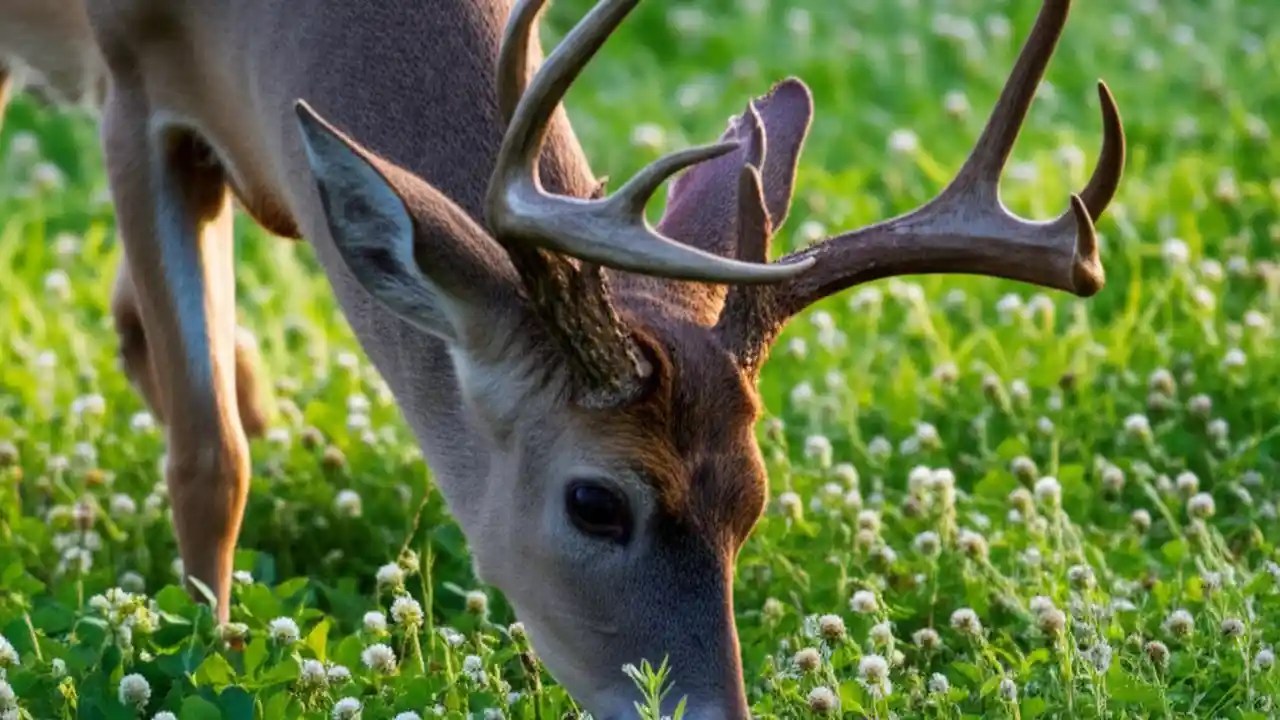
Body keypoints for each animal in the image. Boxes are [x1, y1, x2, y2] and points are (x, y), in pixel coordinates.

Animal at [10, 0, 1123, 714]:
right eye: (594, 502)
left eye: (755, 501)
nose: (697, 711)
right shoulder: (128, 83)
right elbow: (210, 455)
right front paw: (207, 656)